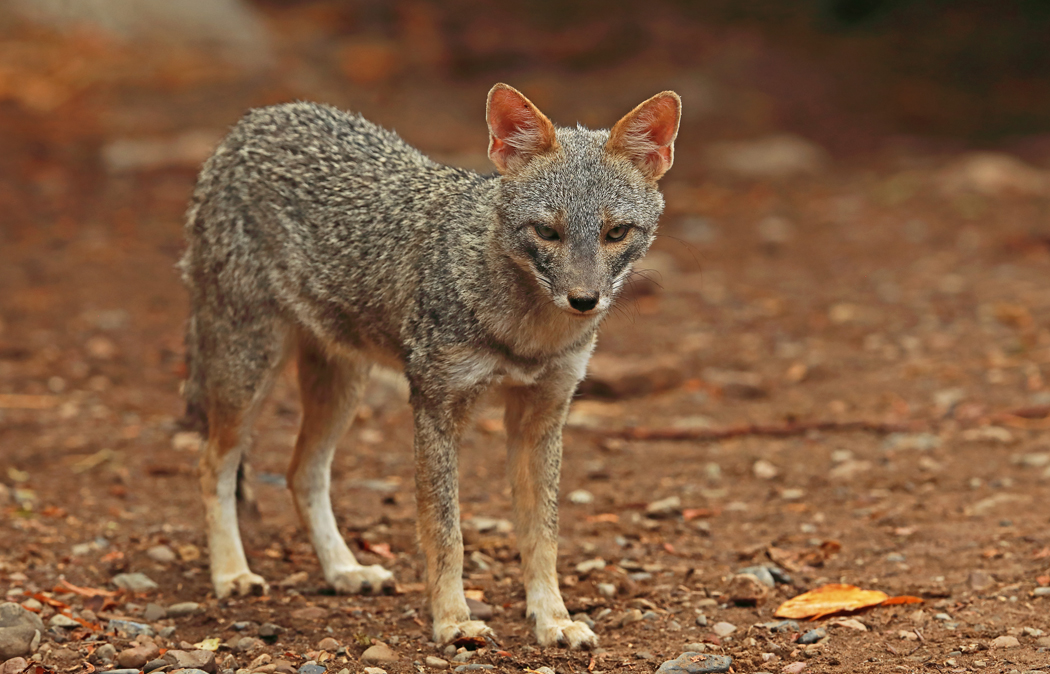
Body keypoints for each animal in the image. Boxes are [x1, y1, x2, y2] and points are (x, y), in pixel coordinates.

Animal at [179, 83, 681, 649]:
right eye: (546, 233)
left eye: (615, 232)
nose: (584, 300)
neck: (525, 335)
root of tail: (261, 116)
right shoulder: (435, 408)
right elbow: (445, 532)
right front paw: (454, 620)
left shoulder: (542, 417)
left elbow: (542, 535)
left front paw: (553, 619)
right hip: (248, 369)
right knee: (211, 464)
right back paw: (232, 574)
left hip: (342, 383)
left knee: (301, 472)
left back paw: (344, 571)